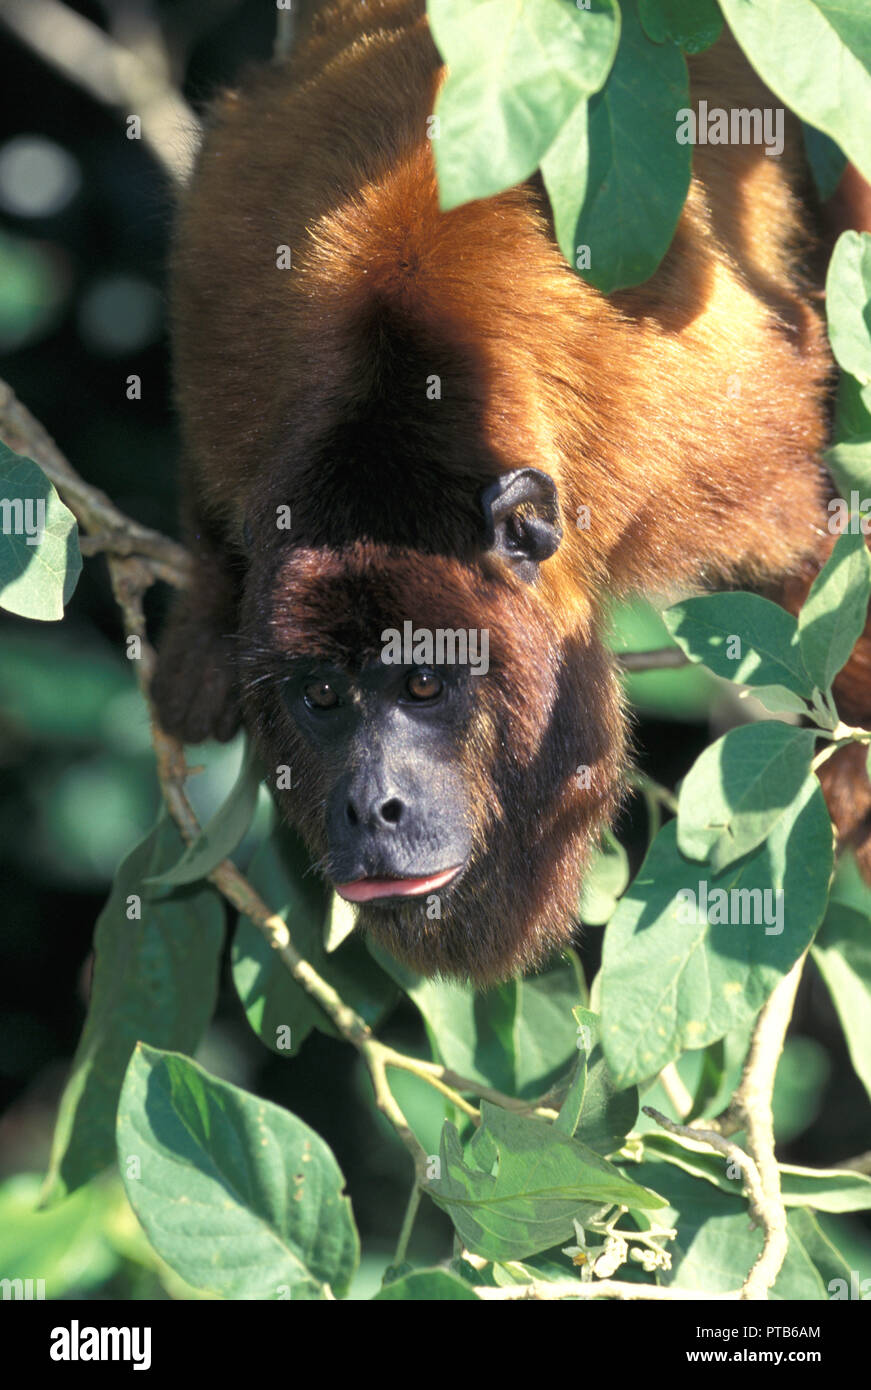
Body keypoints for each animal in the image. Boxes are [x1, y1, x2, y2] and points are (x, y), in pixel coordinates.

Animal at [151, 0, 869, 984]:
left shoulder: (690, 444)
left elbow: (814, 549)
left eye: (423, 683)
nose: (371, 809)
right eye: (322, 698)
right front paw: (204, 626)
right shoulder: (227, 375)